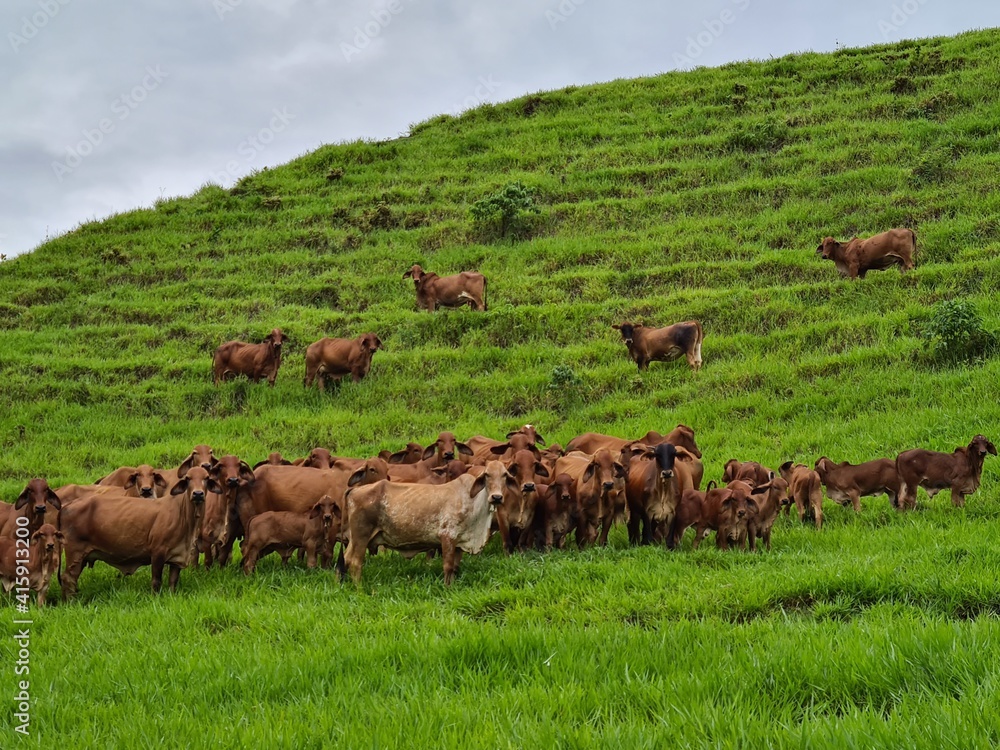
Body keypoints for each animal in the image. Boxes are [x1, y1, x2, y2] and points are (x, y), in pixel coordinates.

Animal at [60, 466, 221, 598]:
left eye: (207, 478)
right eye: (188, 478)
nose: (198, 494)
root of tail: (68, 505)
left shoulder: (177, 557)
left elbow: (173, 581)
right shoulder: (158, 553)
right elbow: (156, 581)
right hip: (75, 551)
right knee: (68, 578)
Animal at [343, 460, 513, 585]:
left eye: (505, 475)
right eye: (487, 475)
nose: (497, 497)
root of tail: (354, 490)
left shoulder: (459, 542)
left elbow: (455, 567)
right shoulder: (447, 537)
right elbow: (448, 567)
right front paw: (447, 587)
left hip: (356, 539)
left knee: (347, 558)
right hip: (361, 536)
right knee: (355, 562)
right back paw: (360, 588)